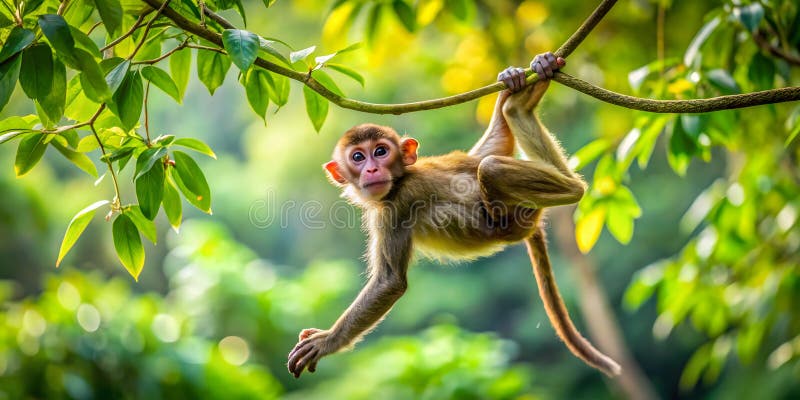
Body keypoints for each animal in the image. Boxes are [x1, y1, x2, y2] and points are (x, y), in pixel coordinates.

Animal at [288, 52, 622, 378]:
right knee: (485, 157)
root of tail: (532, 225)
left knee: (492, 167)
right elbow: (485, 151)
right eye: (358, 157)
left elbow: (390, 281)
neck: (400, 179)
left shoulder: (395, 207)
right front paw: (513, 84)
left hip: (515, 218)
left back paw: (573, 186)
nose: (371, 169)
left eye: (380, 151)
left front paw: (326, 341)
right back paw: (516, 103)